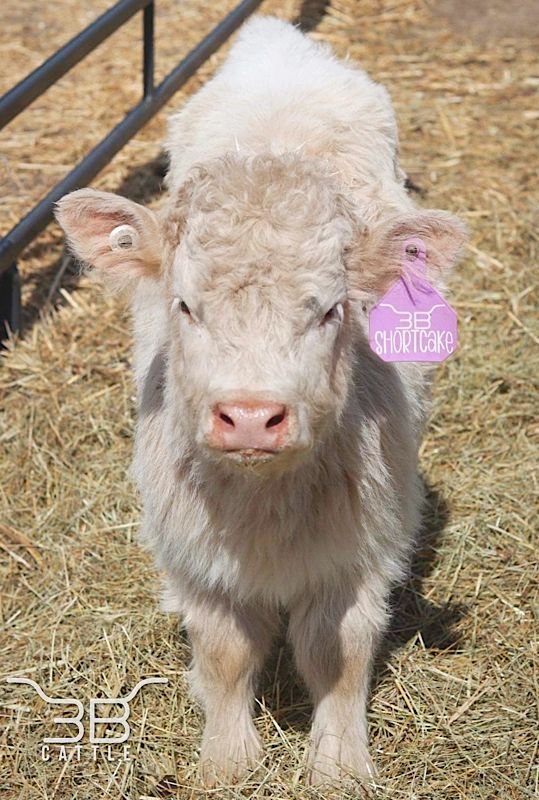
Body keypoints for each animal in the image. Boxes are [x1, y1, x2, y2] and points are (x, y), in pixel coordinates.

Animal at [56, 16, 466, 787]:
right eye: (184, 305)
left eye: (332, 310)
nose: (249, 417)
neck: (262, 510)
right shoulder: (192, 556)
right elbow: (224, 653)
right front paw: (226, 761)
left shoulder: (359, 554)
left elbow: (336, 656)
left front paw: (340, 766)